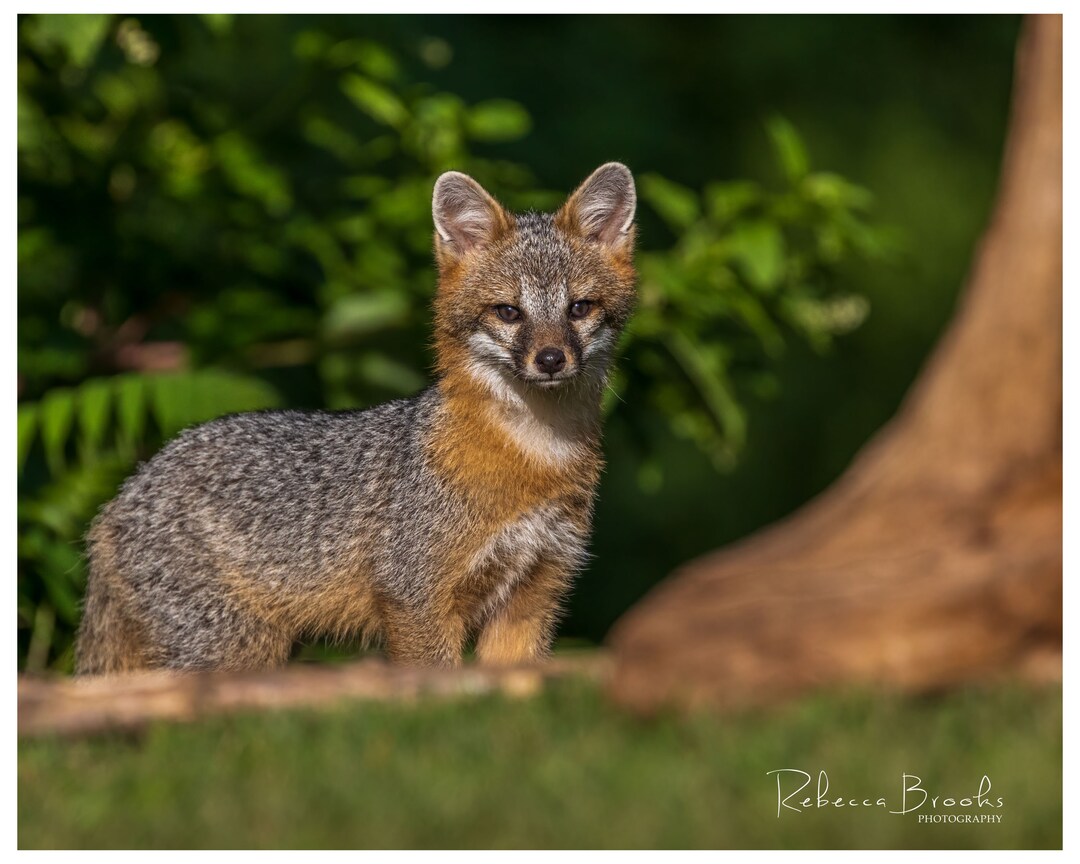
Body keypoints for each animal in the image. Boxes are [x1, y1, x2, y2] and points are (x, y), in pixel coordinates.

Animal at [74, 162, 637, 674]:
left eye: (580, 308)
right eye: (508, 312)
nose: (550, 359)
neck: (536, 455)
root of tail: (121, 497)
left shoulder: (534, 596)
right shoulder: (415, 593)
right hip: (236, 649)